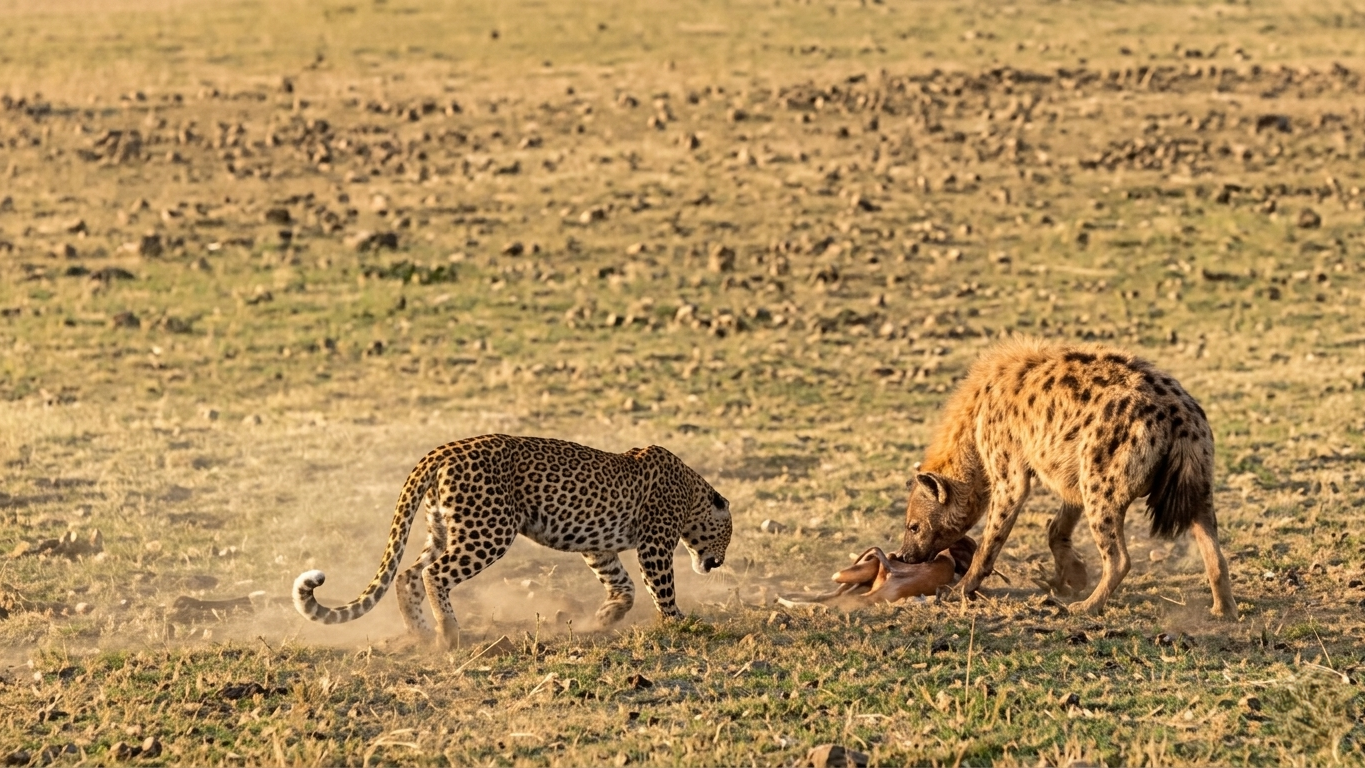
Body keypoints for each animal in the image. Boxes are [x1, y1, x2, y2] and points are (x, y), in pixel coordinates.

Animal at [293, 434, 732, 647]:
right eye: (727, 538)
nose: (721, 562)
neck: (693, 493)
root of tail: (440, 450)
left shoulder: (598, 547)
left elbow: (622, 587)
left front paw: (603, 618)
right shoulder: (655, 544)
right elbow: (662, 587)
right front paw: (682, 623)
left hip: (442, 528)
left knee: (408, 576)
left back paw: (420, 635)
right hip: (487, 531)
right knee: (435, 575)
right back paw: (449, 634)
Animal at [895, 336, 1237, 618]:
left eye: (913, 526)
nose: (904, 555)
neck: (974, 417)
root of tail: (1178, 415)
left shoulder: (1010, 470)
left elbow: (991, 539)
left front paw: (957, 591)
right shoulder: (1075, 470)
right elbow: (1056, 528)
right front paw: (1069, 577)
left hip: (1103, 478)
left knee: (1119, 558)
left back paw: (1087, 607)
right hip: (1196, 479)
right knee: (1214, 550)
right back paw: (1223, 609)